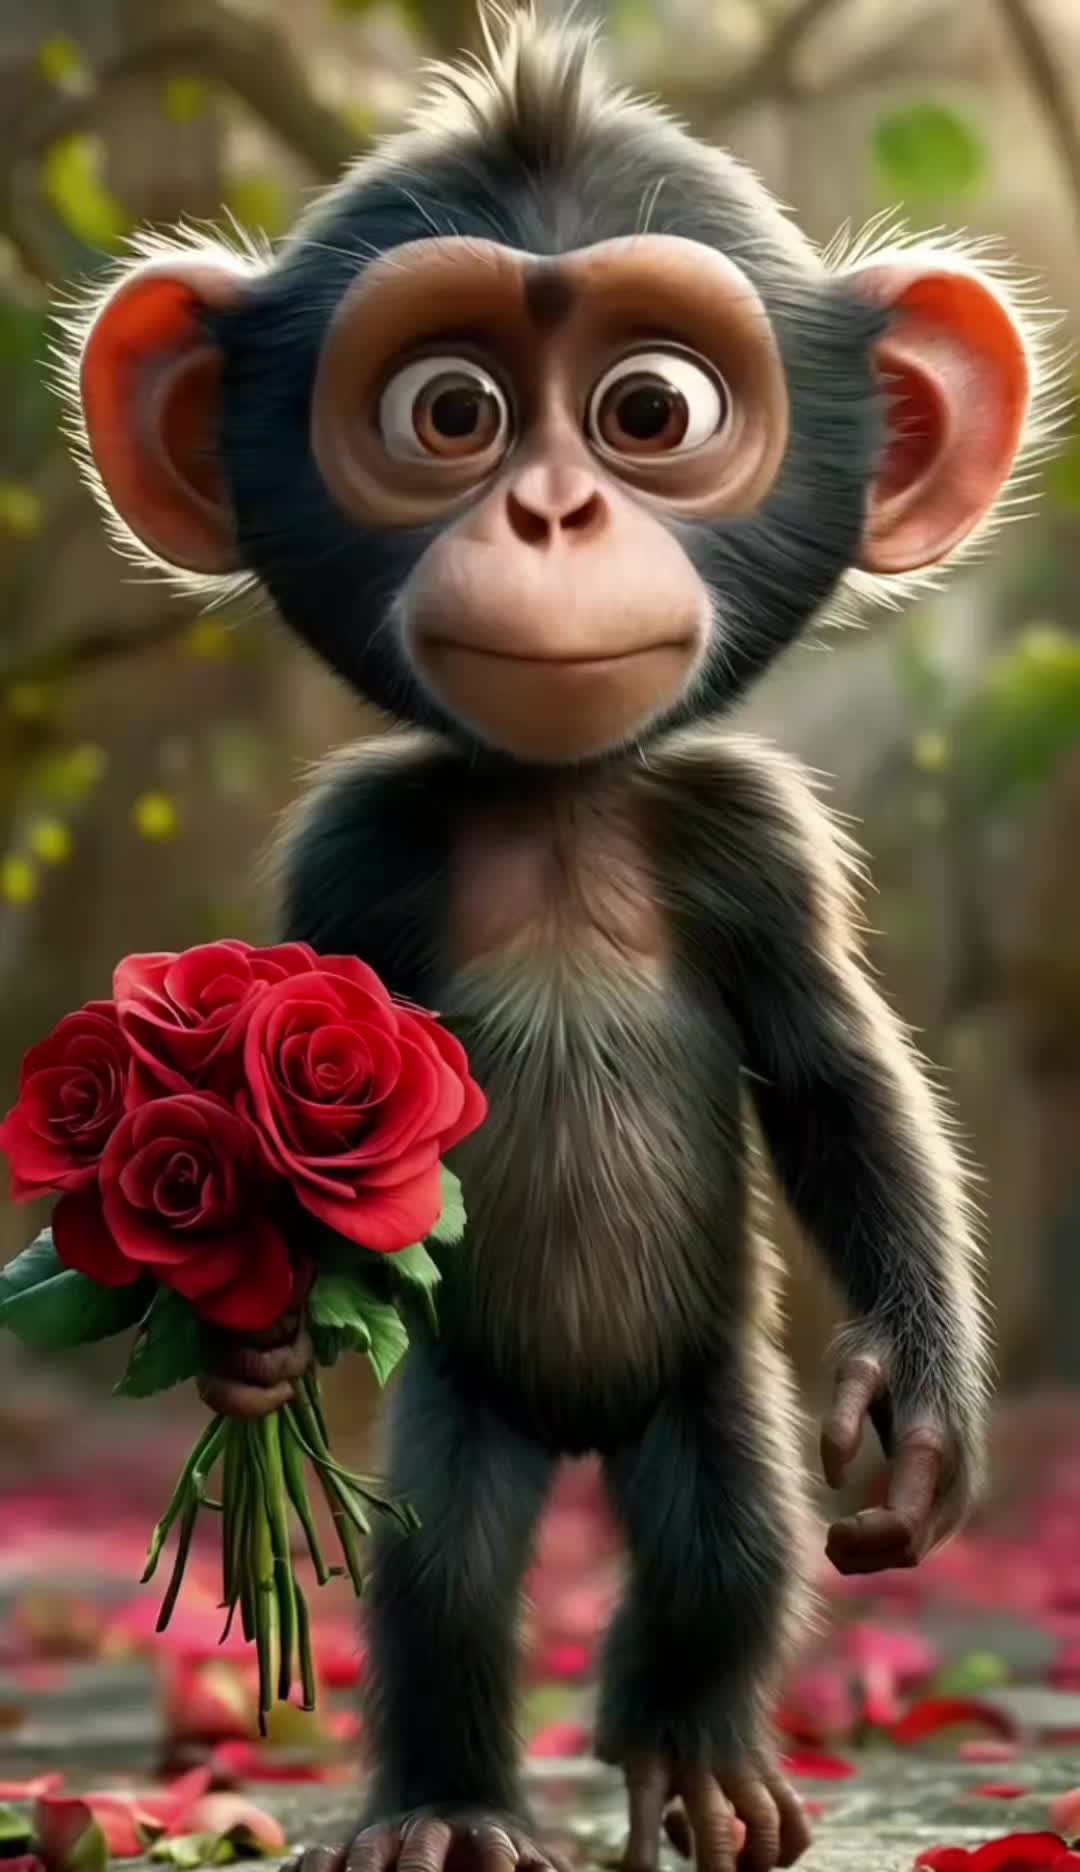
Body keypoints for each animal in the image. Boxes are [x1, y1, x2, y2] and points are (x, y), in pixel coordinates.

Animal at [60, 6, 1057, 1870]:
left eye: (650, 409)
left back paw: (689, 1751)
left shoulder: (747, 830)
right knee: (445, 1561)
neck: (558, 806)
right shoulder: (354, 853)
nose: (549, 514)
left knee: (735, 1540)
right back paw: (453, 1800)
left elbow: (832, 1072)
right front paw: (245, 1332)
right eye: (449, 410)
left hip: (707, 1395)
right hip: (469, 1398)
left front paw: (923, 1402)